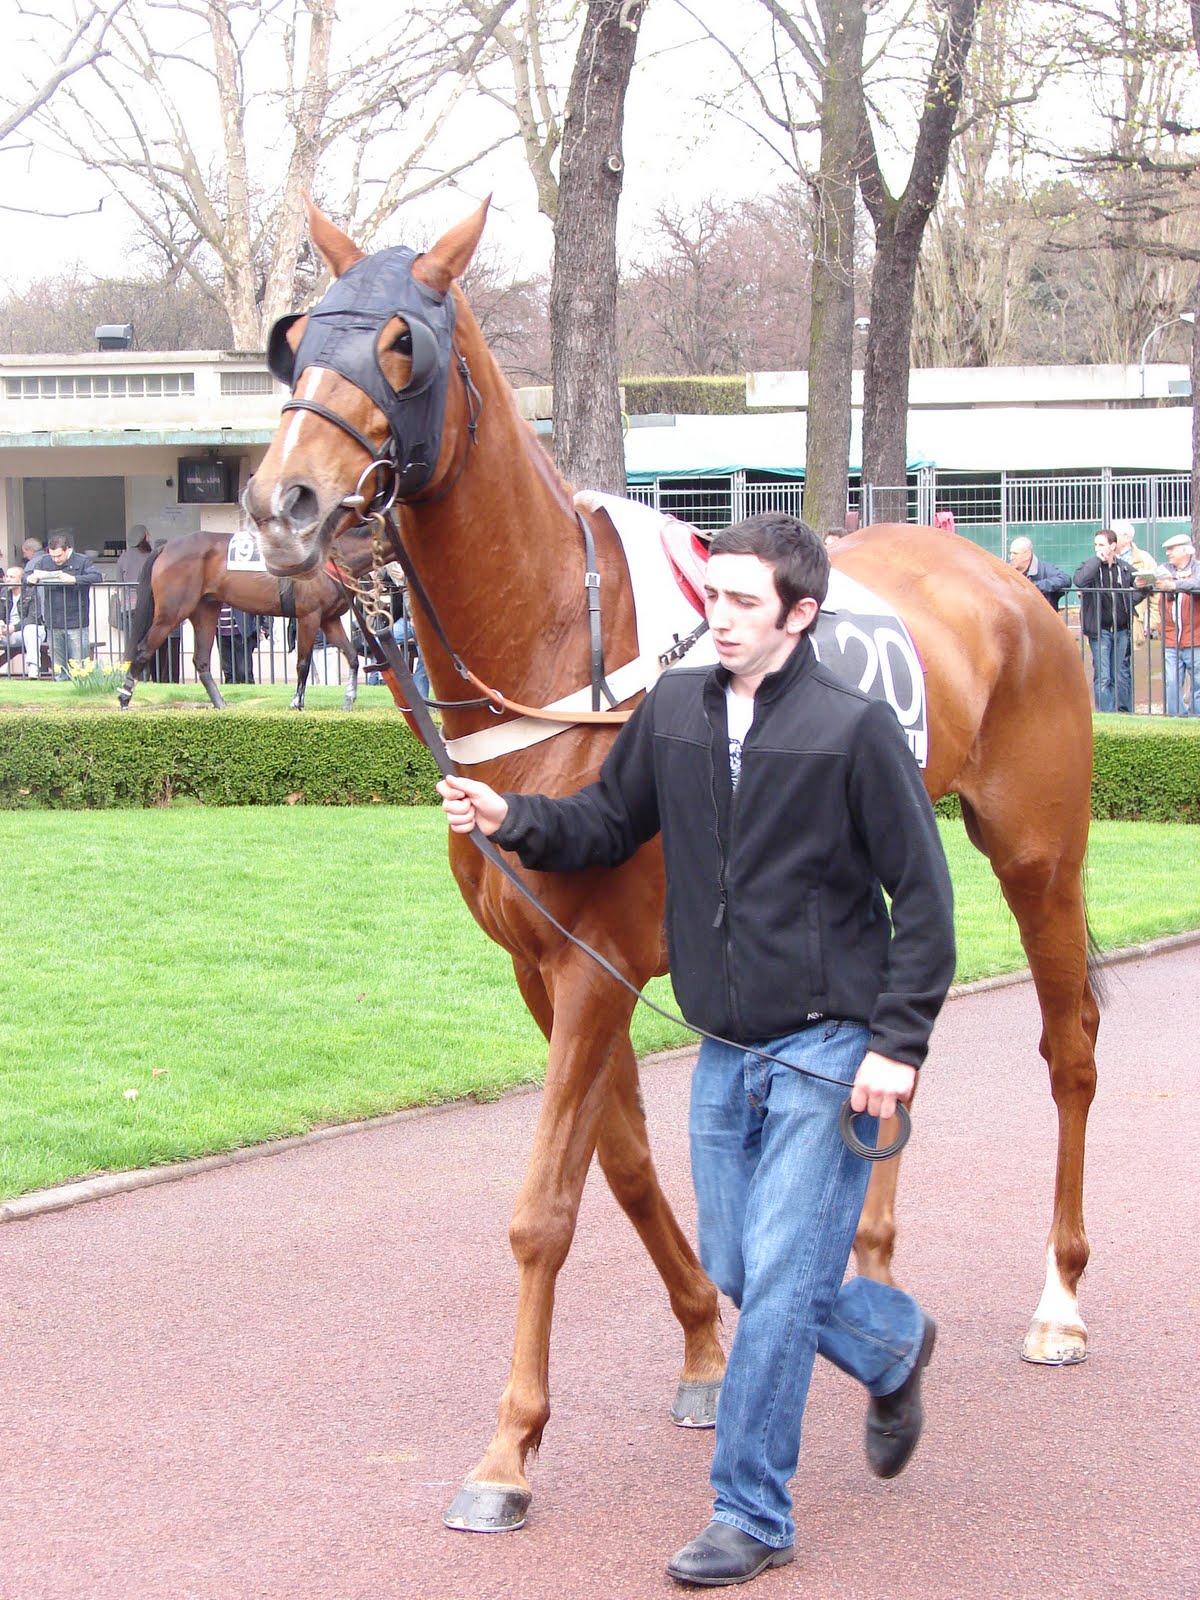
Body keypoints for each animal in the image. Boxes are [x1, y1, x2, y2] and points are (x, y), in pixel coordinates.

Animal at [116, 527, 377, 710]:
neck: (332, 558)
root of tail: (166, 548)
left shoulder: (329, 620)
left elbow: (352, 658)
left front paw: (348, 701)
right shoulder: (310, 616)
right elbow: (303, 663)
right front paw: (296, 702)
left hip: (205, 611)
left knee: (201, 661)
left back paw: (221, 704)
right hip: (171, 612)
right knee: (143, 650)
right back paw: (124, 698)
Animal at [243, 198, 1100, 1533]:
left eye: (401, 347)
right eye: (299, 341)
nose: (283, 500)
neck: (555, 643)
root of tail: (1013, 584)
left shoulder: (597, 965)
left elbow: (546, 1206)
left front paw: (508, 1451)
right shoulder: (546, 966)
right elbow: (632, 1168)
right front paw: (707, 1343)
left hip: (1039, 855)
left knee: (1069, 1052)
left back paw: (1058, 1299)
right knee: (889, 1060)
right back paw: (866, 1263)